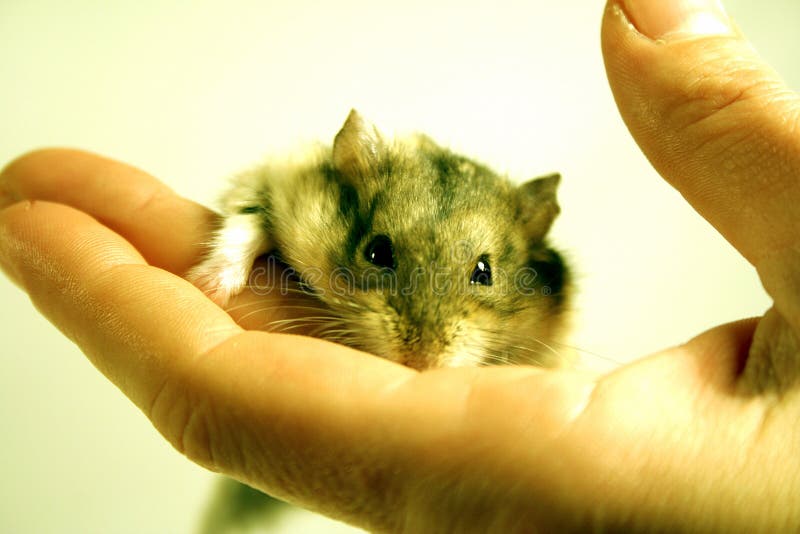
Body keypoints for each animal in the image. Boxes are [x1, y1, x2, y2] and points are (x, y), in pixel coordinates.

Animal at [188, 110, 570, 370]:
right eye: (377, 253)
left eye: (484, 272)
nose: (420, 362)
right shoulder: (269, 185)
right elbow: (244, 227)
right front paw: (205, 287)